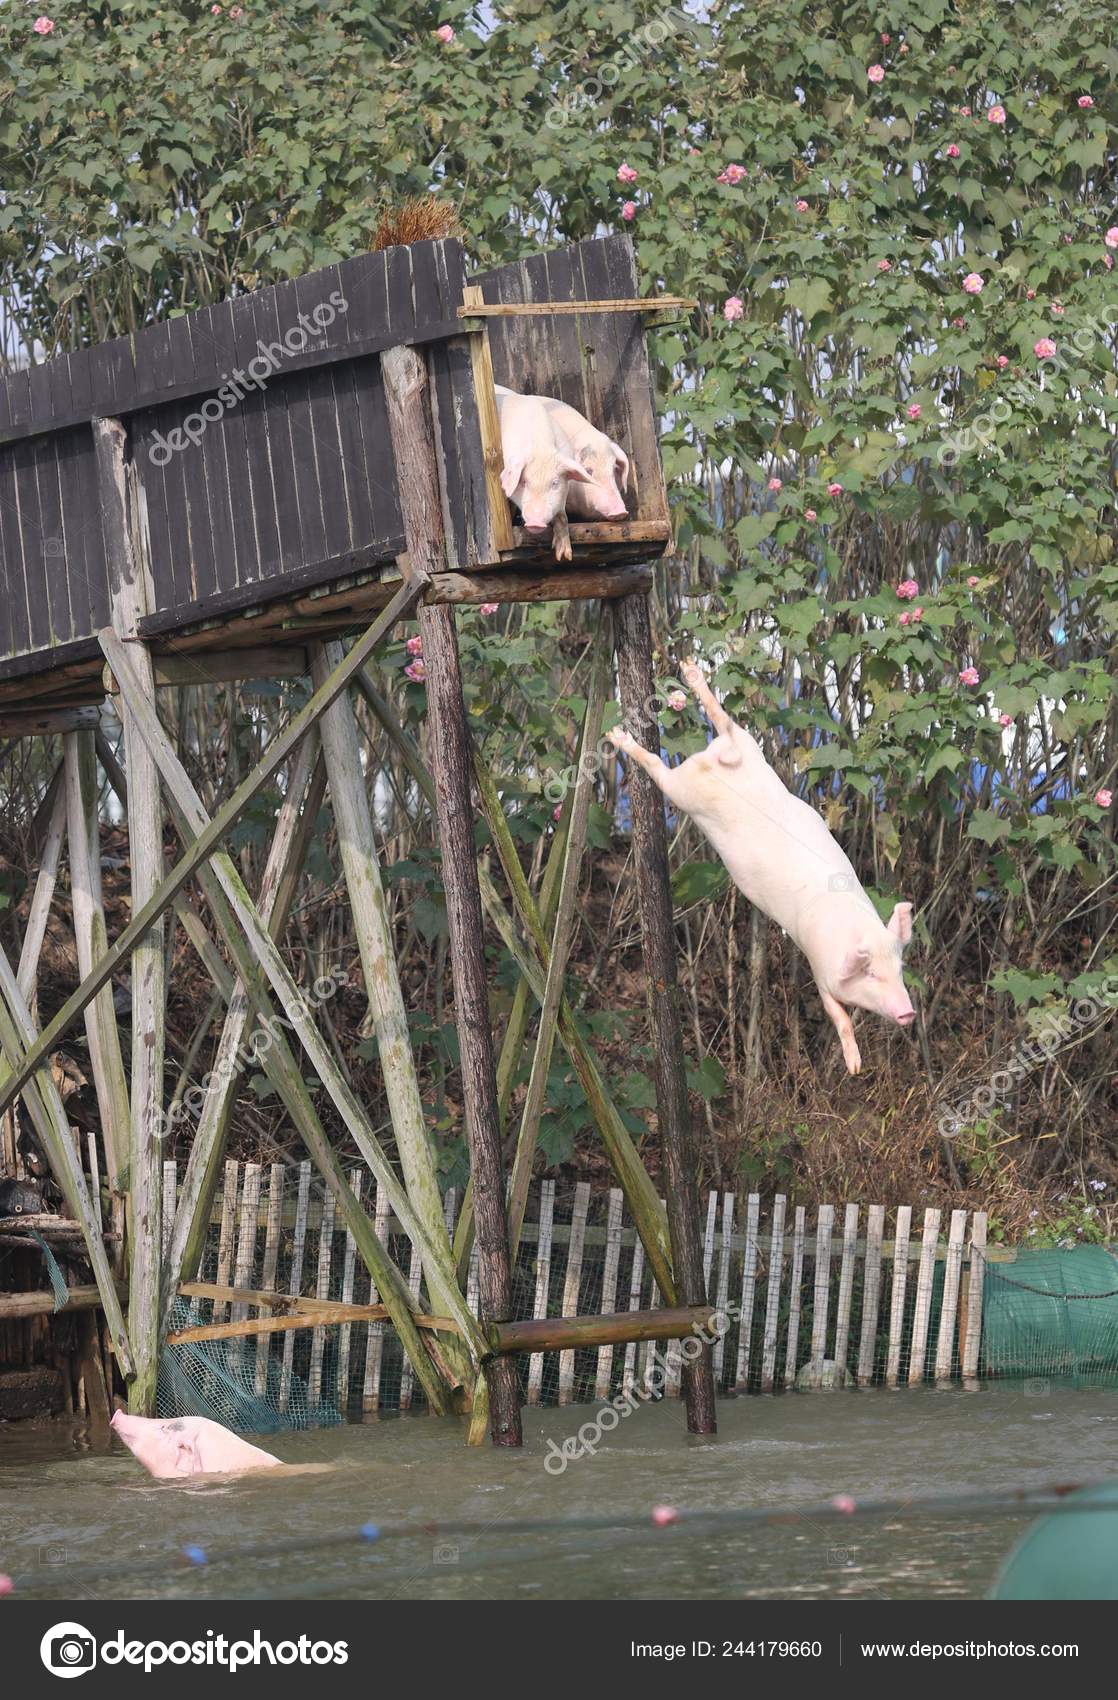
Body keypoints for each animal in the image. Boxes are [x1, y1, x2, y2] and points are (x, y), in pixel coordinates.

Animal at [494, 387, 593, 561]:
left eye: (555, 483)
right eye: (524, 482)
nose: (536, 522)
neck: (540, 446)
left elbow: (562, 516)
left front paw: (563, 556)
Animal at [608, 661, 915, 1075]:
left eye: (898, 969)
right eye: (871, 974)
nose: (908, 1013)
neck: (849, 927)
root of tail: (710, 760)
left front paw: (853, 1068)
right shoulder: (820, 968)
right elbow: (838, 1016)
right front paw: (854, 1066)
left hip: (748, 749)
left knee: (725, 721)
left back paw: (691, 673)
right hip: (681, 789)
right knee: (658, 766)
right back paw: (618, 736)